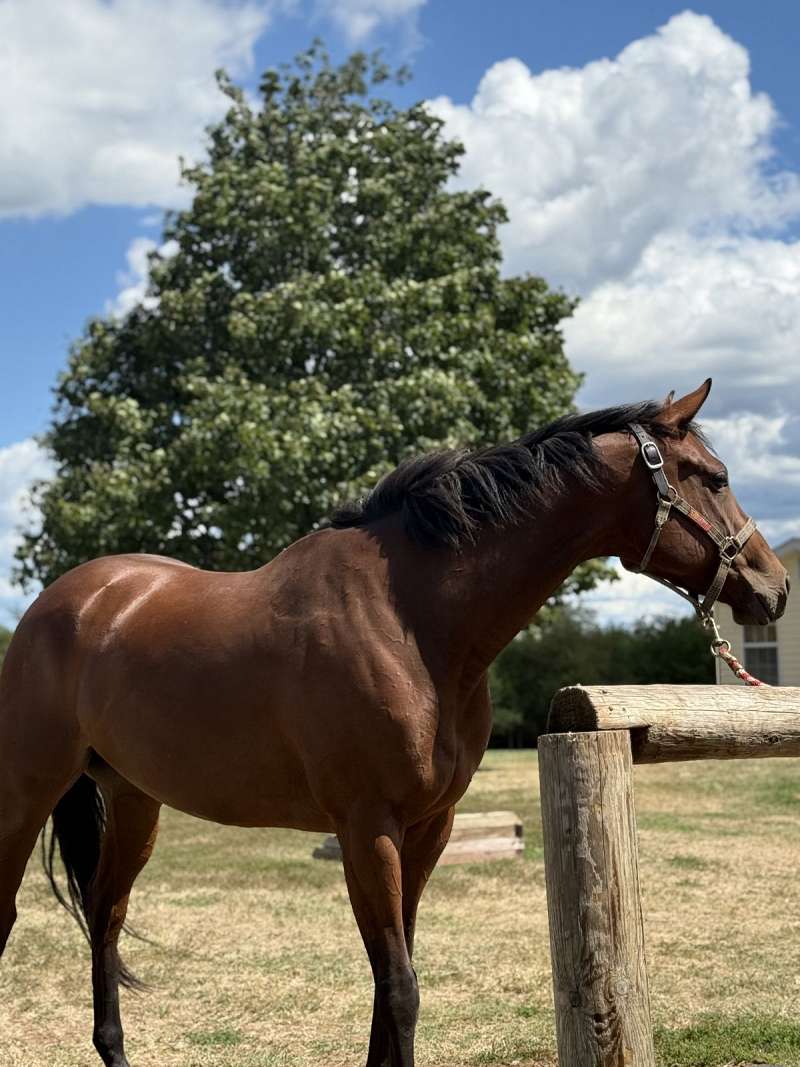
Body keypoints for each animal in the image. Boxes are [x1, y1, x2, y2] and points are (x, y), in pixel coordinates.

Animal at [0, 379, 789, 1067]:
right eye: (713, 476)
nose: (775, 586)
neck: (410, 618)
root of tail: (65, 601)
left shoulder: (429, 825)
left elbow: (393, 977)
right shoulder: (366, 825)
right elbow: (400, 986)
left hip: (135, 800)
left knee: (105, 916)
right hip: (28, 793)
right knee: (9, 914)